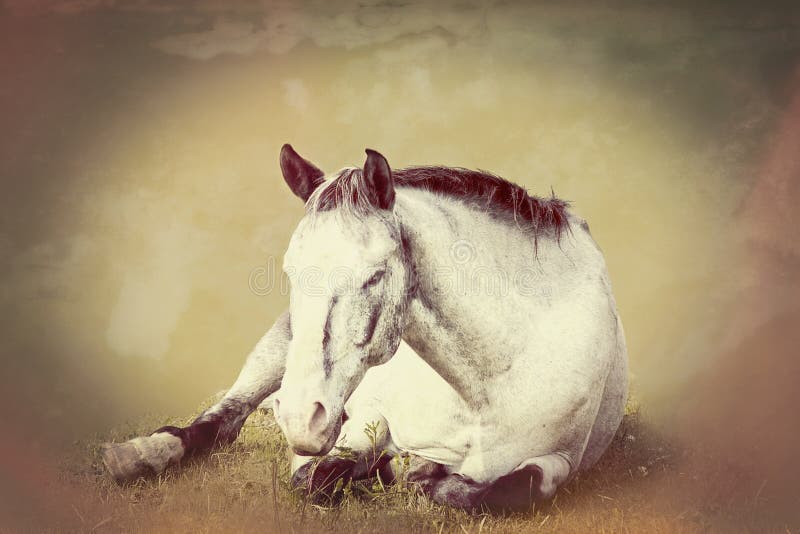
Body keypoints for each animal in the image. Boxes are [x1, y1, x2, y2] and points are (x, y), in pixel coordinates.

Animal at [101, 145, 628, 510]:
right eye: (290, 272)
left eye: (375, 275)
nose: (301, 419)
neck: (488, 383)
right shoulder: (367, 420)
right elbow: (319, 476)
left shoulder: (563, 461)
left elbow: (507, 490)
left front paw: (419, 474)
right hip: (275, 356)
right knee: (222, 419)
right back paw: (139, 454)